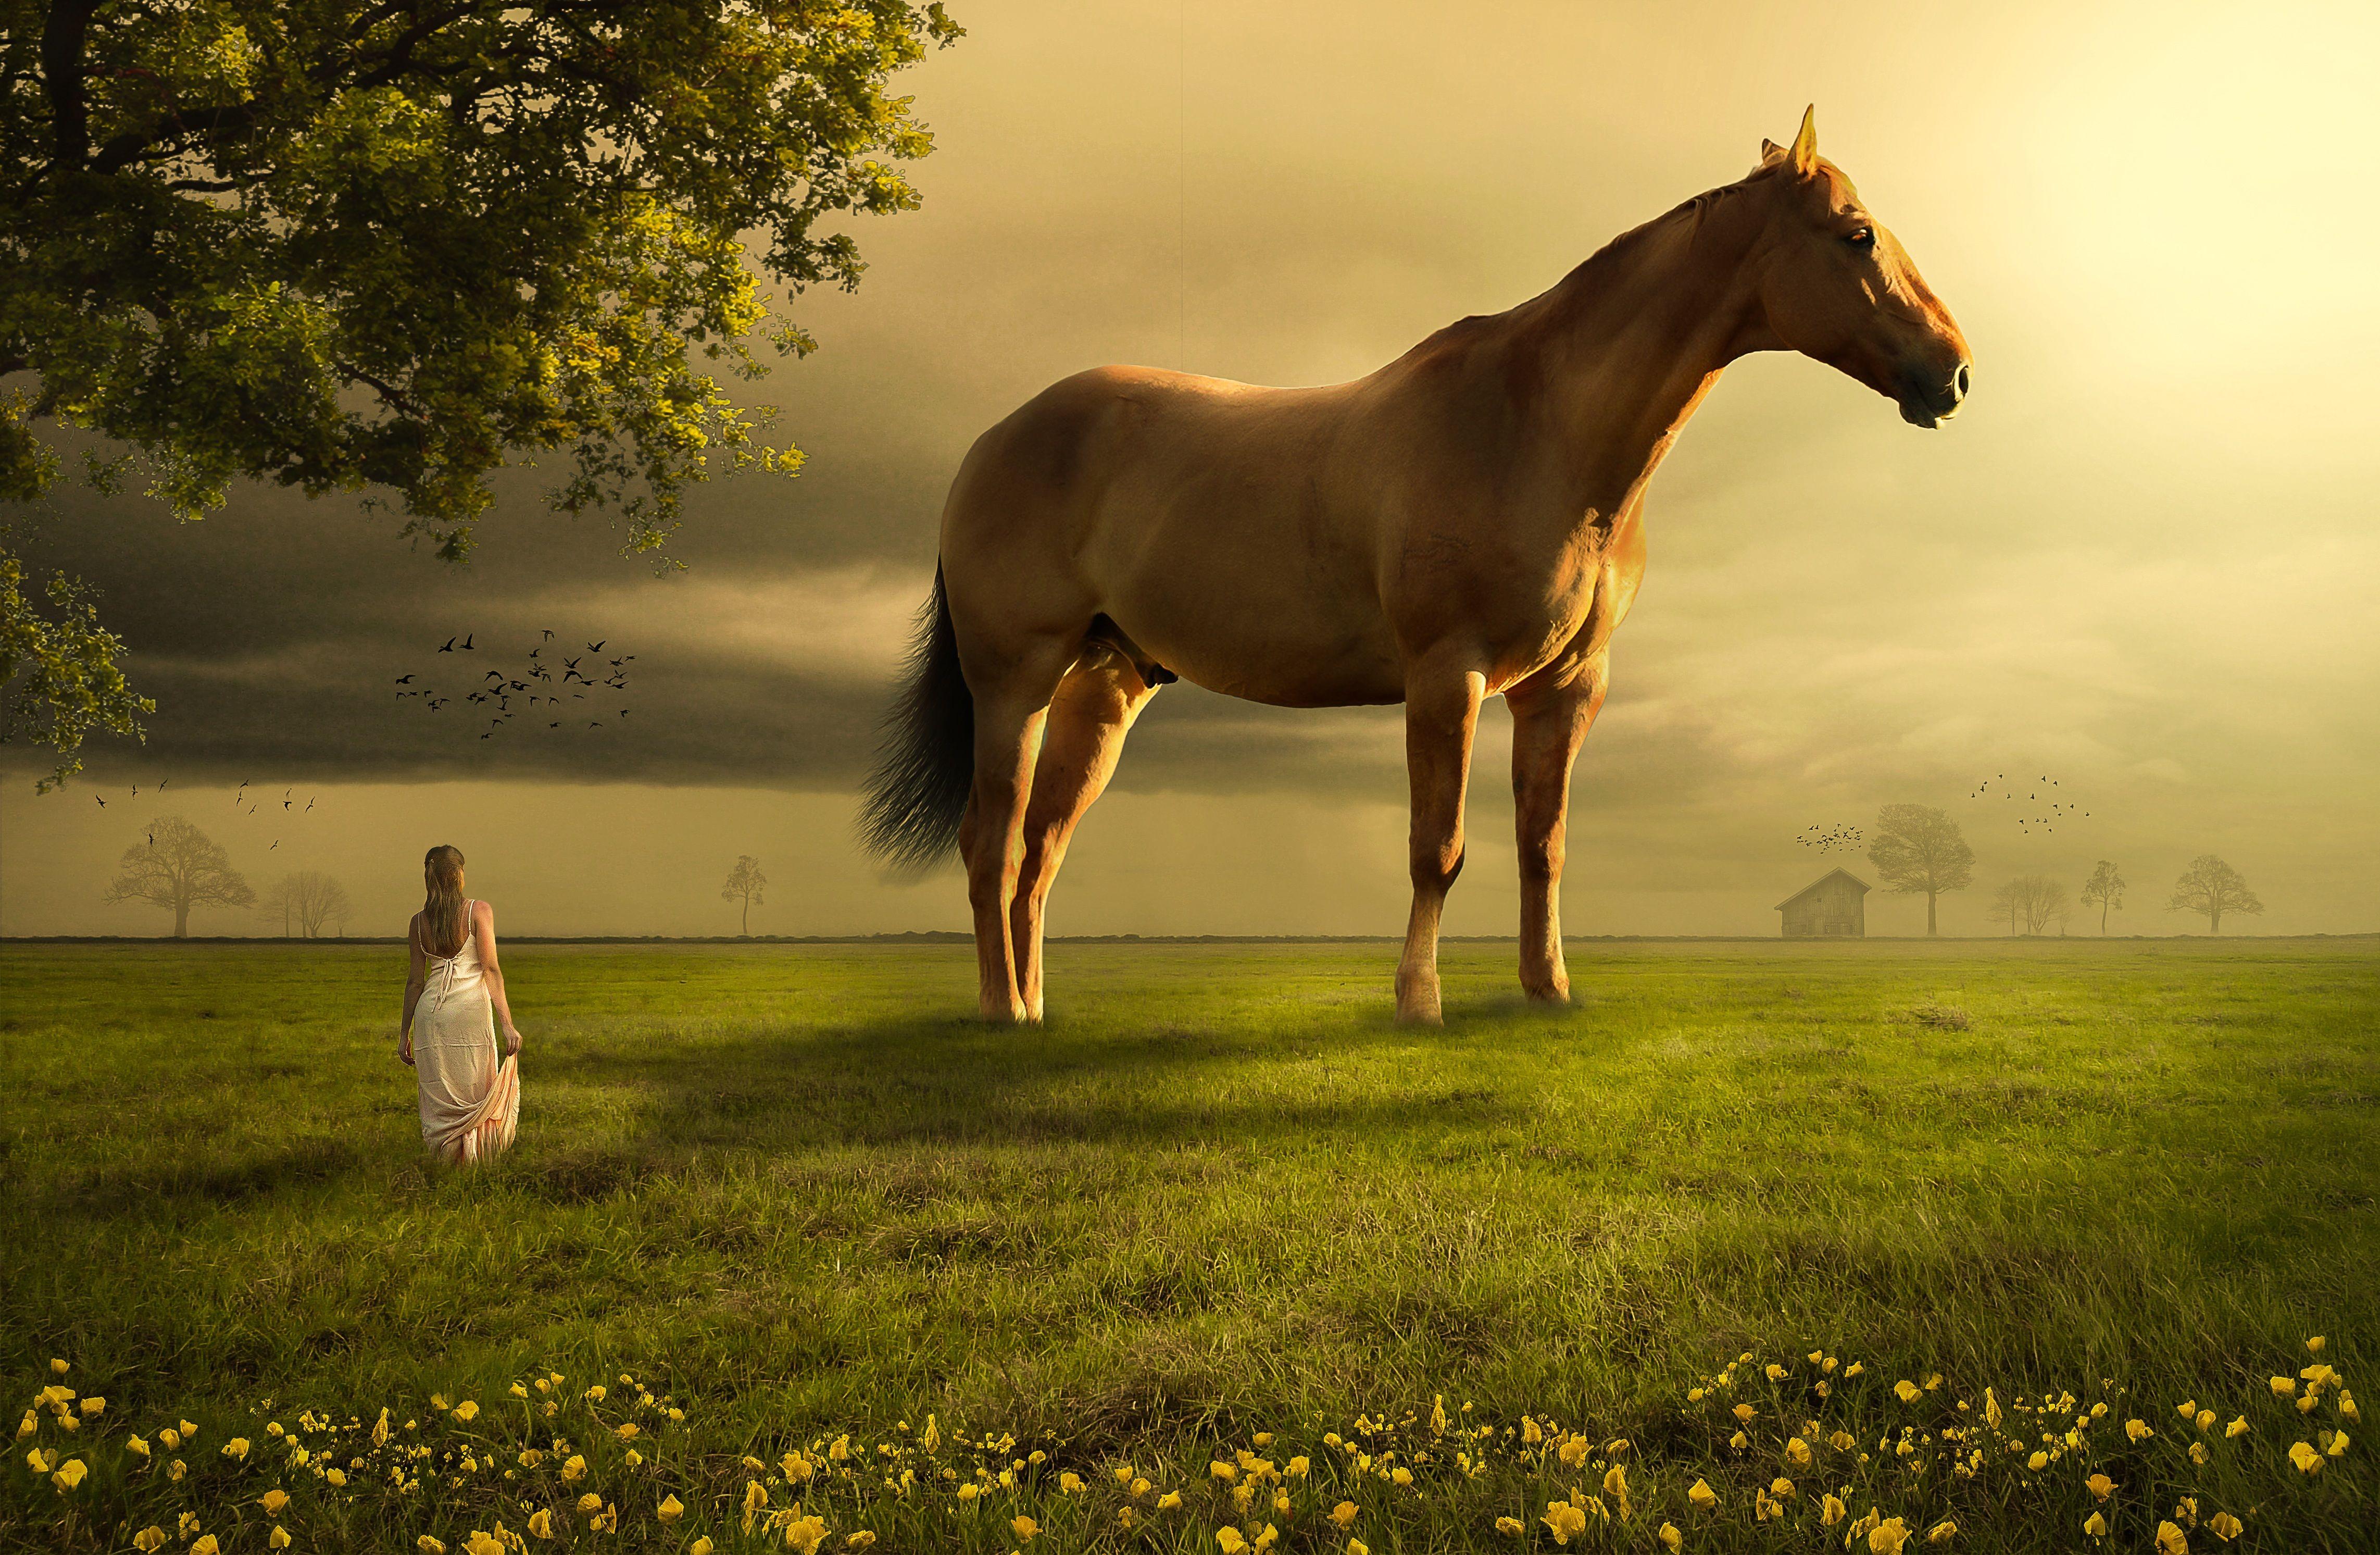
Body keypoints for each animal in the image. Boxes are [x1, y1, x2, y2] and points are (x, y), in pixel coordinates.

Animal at [861, 109, 1971, 1025]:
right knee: (992, 841)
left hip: (1105, 688)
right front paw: (1419, 1003)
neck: (1538, 430)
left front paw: (1548, 991)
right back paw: (999, 1014)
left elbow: (1542, 847)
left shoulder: (1566, 690)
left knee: (1042, 854)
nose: (1953, 373)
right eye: (1857, 235)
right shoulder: (1449, 675)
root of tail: (997, 436)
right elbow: (1437, 849)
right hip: (1014, 683)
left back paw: (1034, 1007)